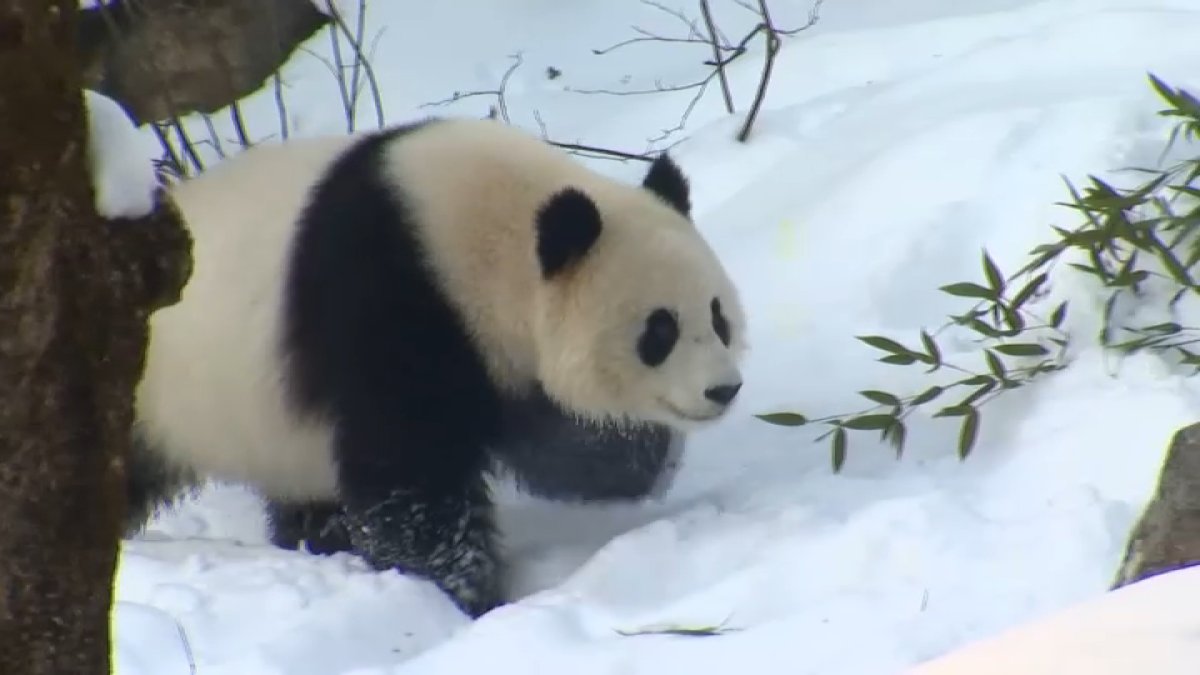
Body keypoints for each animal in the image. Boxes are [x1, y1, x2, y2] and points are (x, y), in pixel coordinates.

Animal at [125, 116, 747, 618]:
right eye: (659, 331)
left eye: (718, 316)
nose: (723, 390)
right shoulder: (389, 302)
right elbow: (408, 478)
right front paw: (461, 591)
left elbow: (563, 447)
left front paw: (633, 456)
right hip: (151, 385)